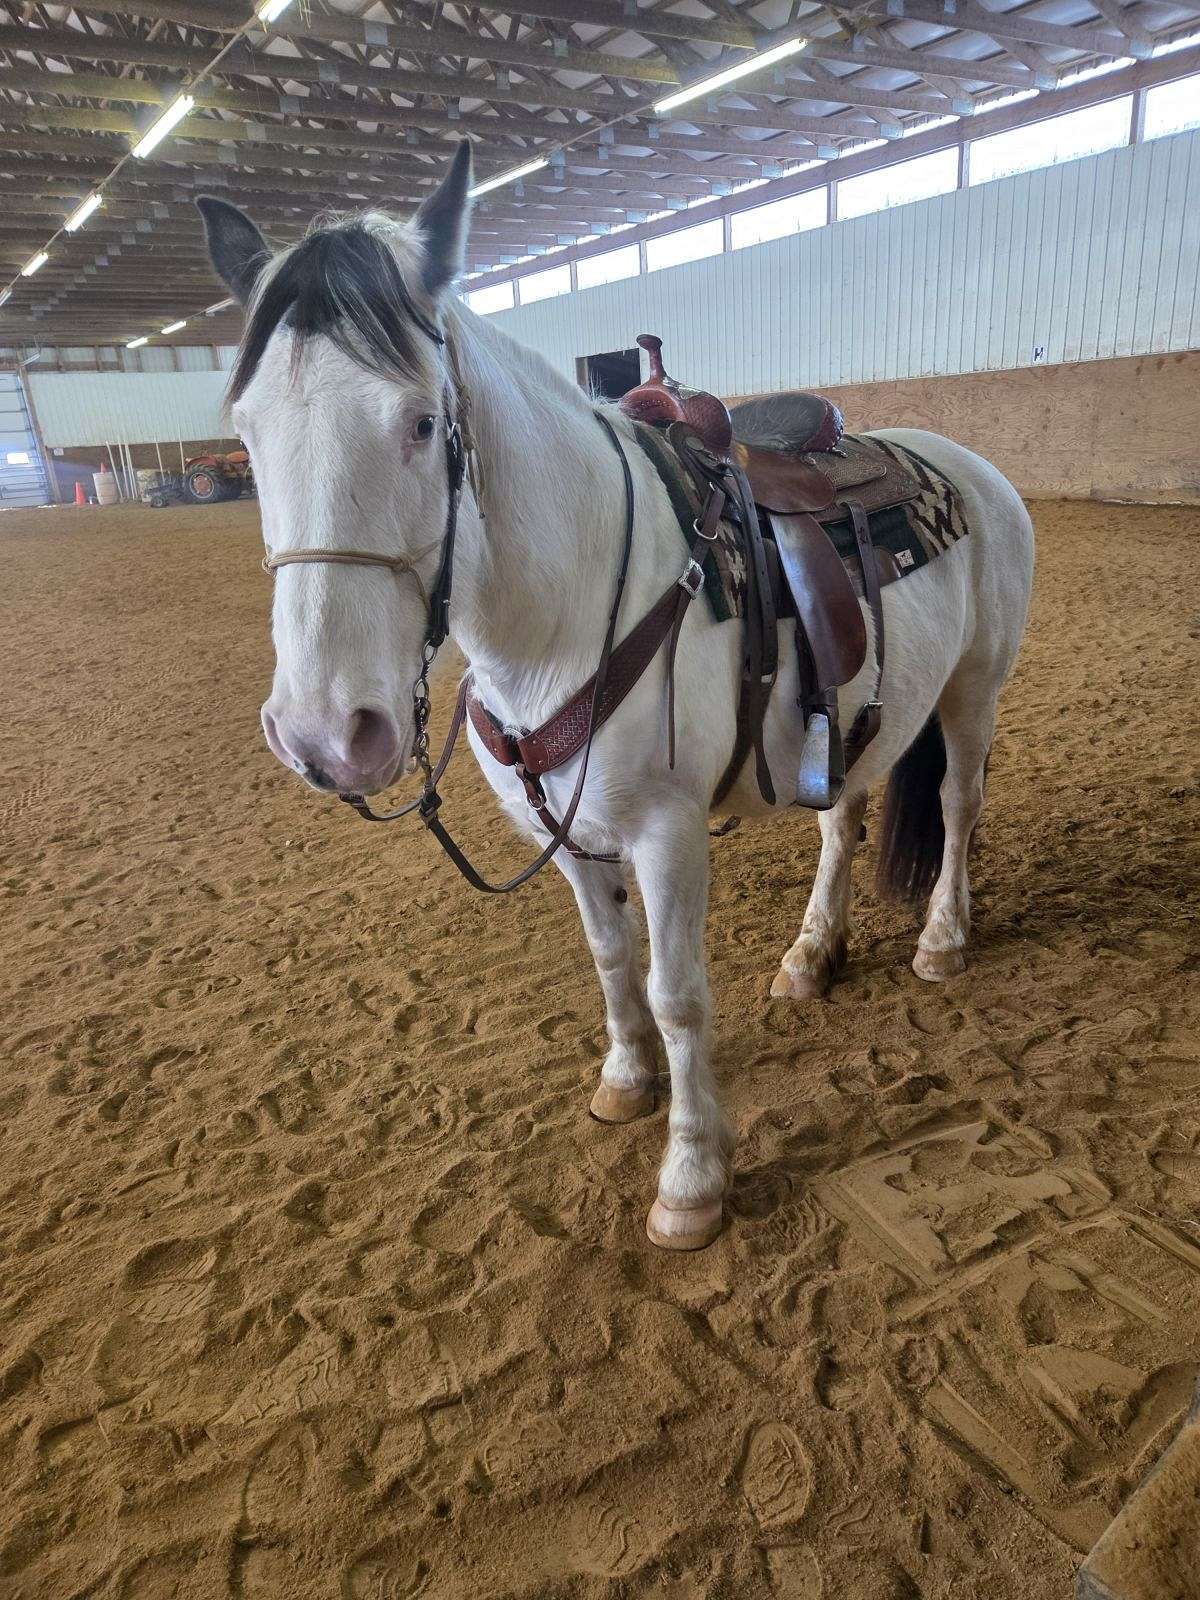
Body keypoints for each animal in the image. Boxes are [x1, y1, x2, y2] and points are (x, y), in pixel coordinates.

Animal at [198, 141, 1034, 1252]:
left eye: (422, 421)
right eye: (246, 436)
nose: (328, 733)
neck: (560, 615)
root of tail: (973, 467)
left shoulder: (666, 835)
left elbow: (676, 992)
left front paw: (691, 1177)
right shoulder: (563, 835)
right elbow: (608, 959)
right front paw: (627, 1081)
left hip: (975, 687)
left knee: (956, 804)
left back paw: (942, 941)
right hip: (859, 716)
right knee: (842, 823)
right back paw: (812, 954)